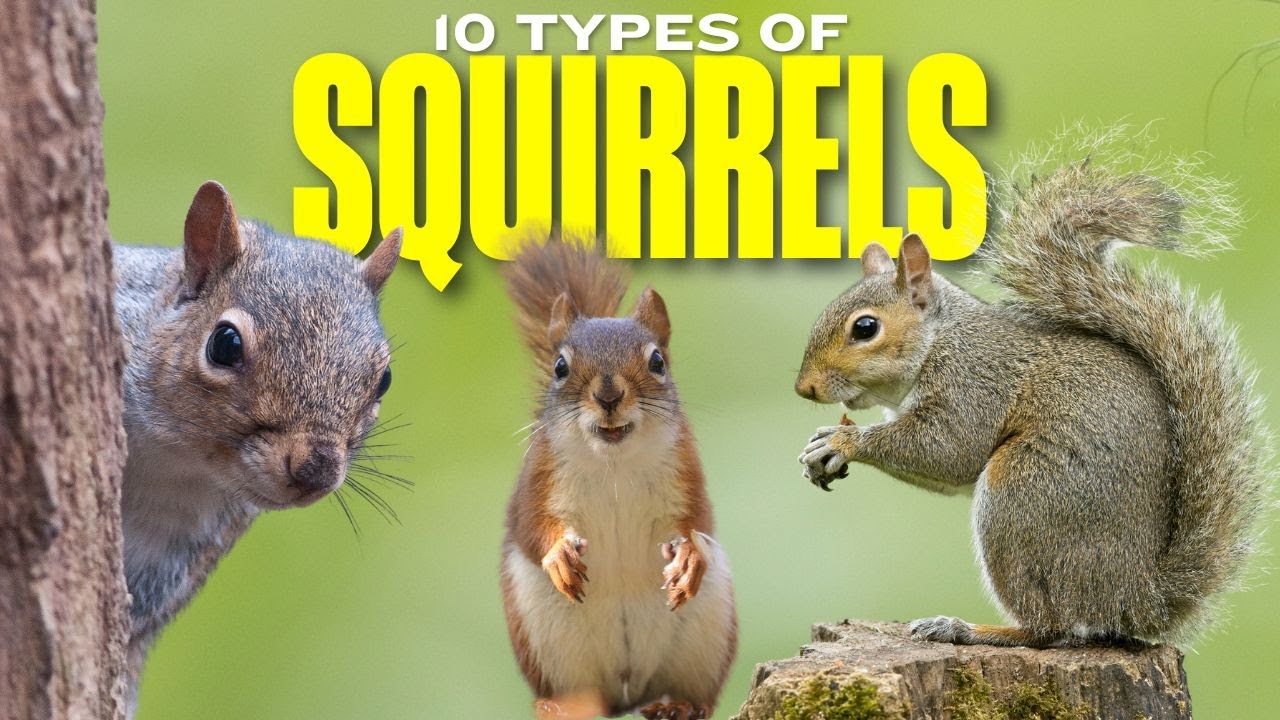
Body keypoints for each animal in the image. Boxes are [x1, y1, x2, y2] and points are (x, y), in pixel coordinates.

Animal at [499, 236, 737, 720]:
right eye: (560, 367)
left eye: (658, 361)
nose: (608, 395)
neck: (614, 463)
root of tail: (629, 693)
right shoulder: (537, 479)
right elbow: (531, 526)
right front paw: (558, 555)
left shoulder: (687, 472)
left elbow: (698, 522)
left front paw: (689, 558)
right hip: (547, 645)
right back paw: (566, 707)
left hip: (708, 633)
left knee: (692, 693)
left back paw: (680, 705)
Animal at [794, 157, 1269, 648]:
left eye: (865, 327)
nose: (804, 388)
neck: (940, 340)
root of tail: (1134, 599)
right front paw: (819, 449)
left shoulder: (976, 383)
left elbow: (949, 451)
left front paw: (841, 442)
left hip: (1021, 497)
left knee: (1047, 627)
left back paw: (967, 629)